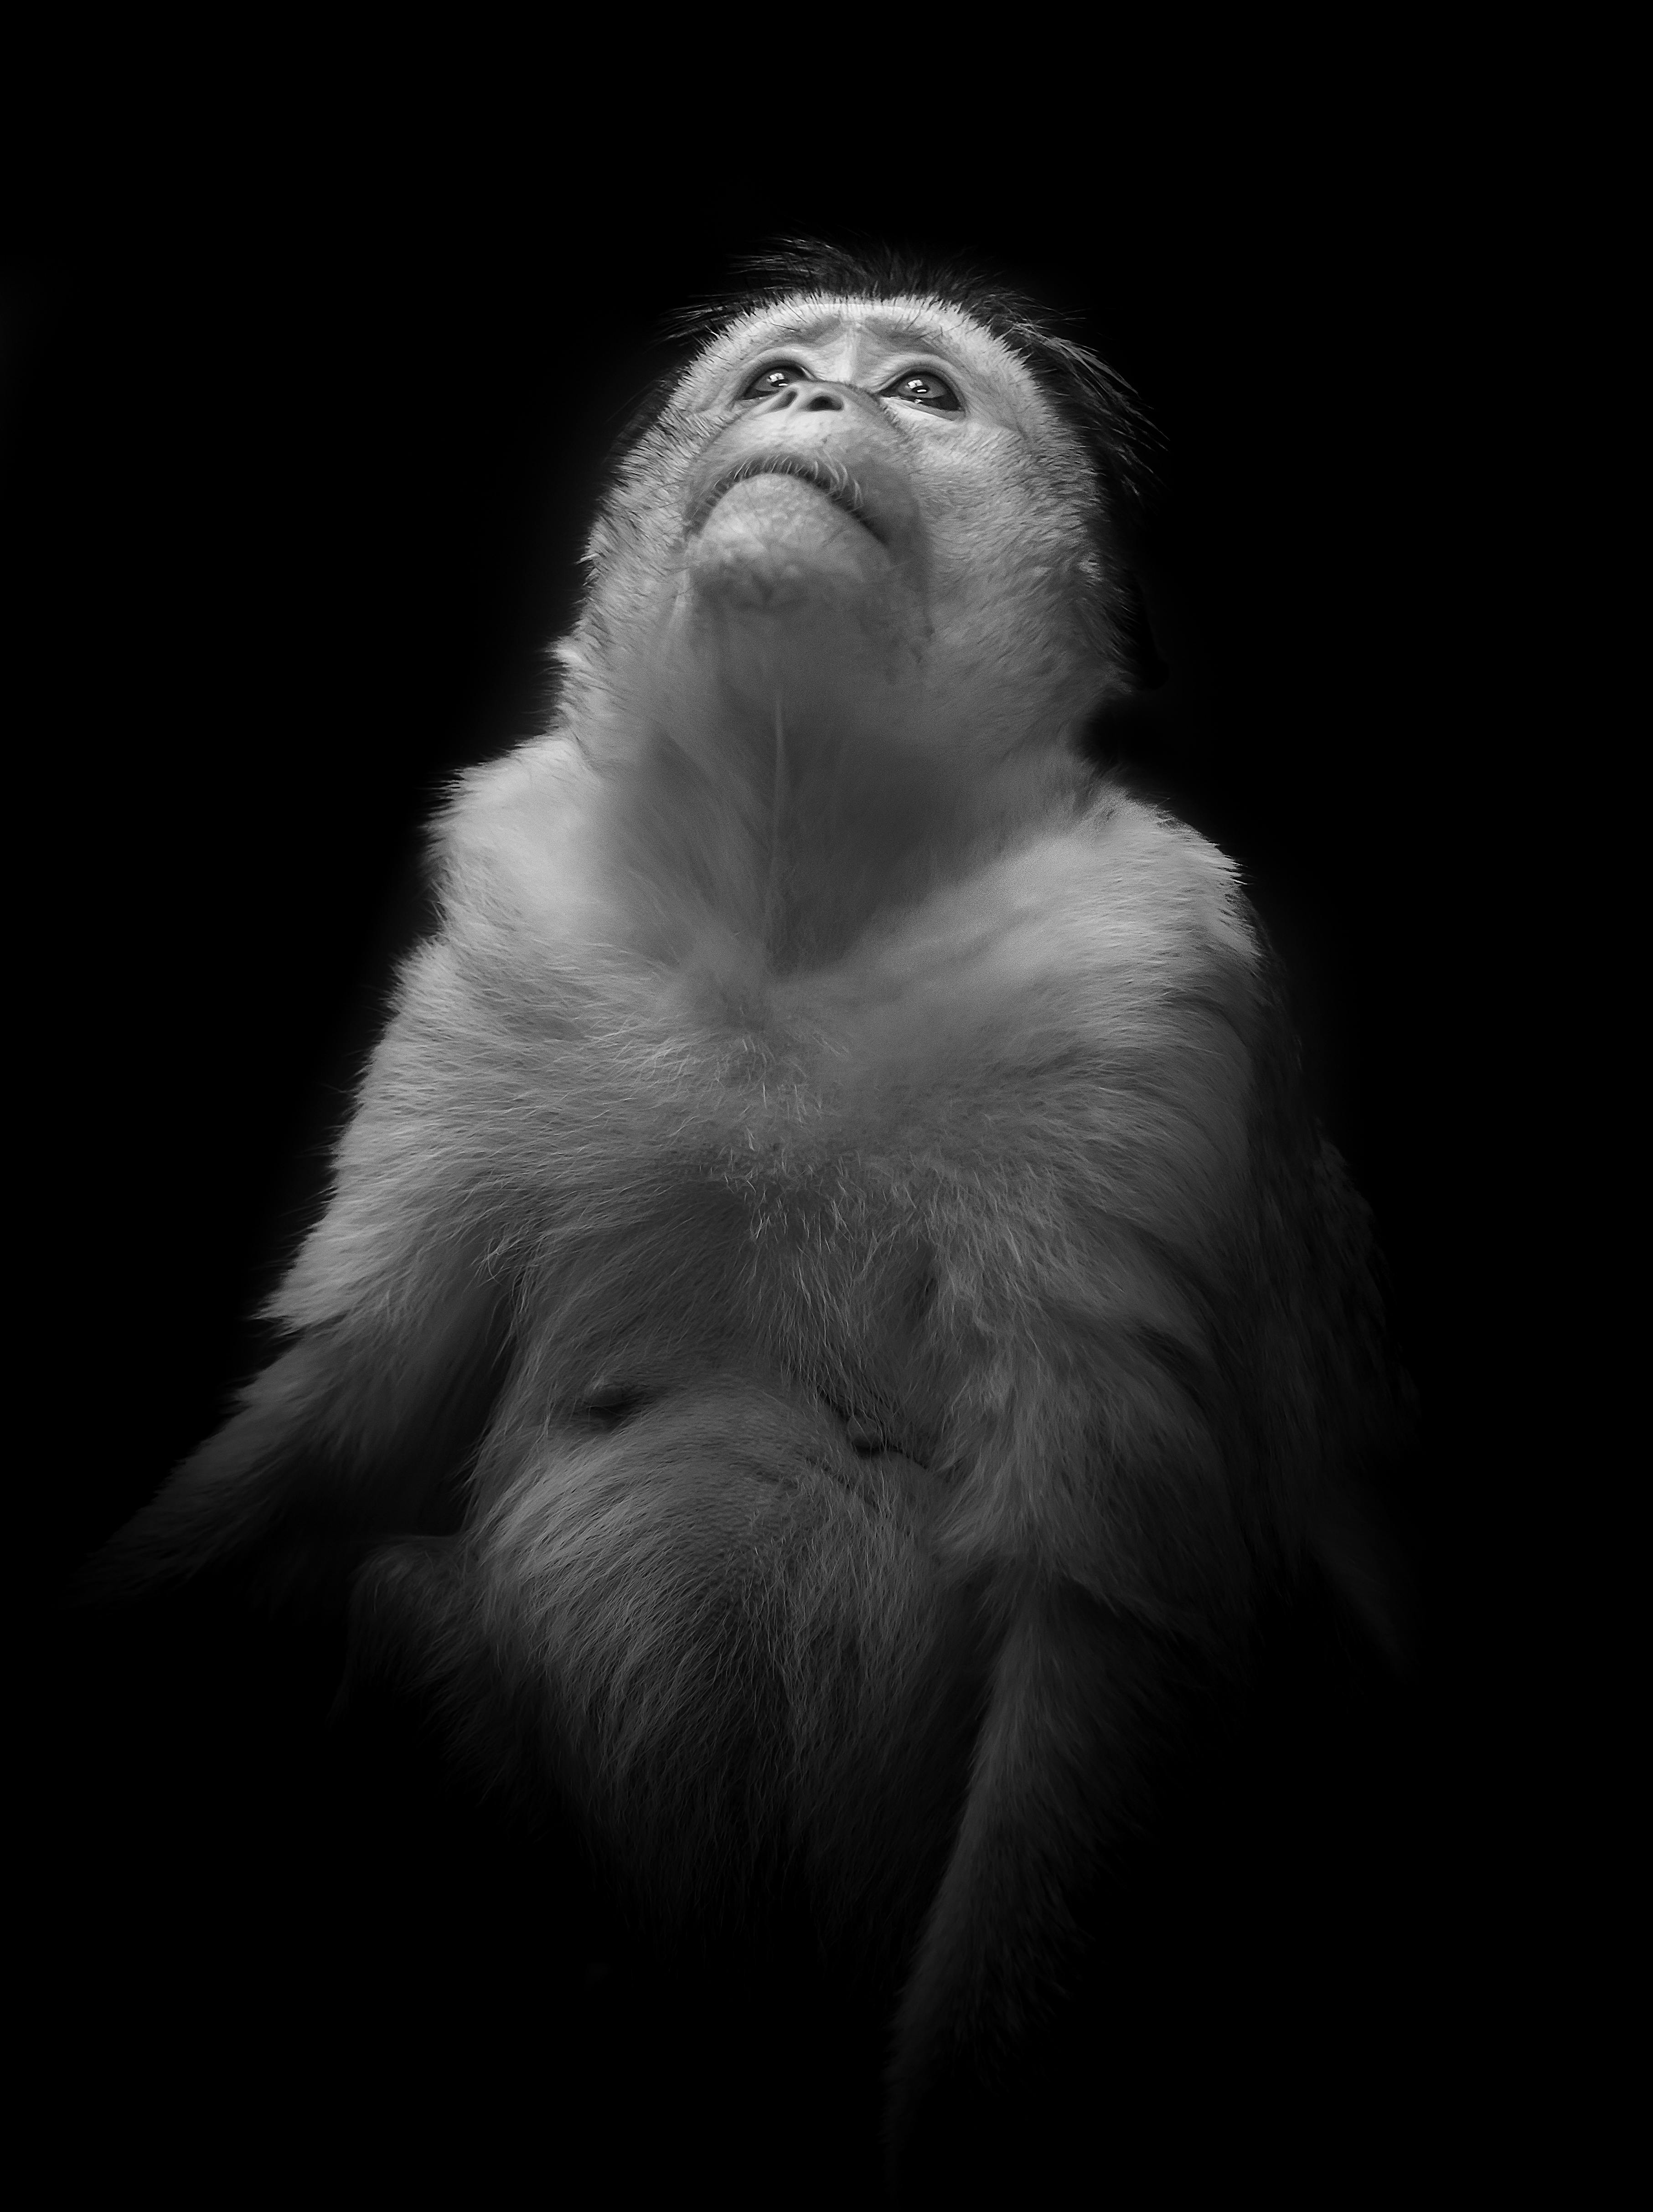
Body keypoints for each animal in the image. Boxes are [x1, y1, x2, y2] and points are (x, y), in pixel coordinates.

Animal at [92, 242, 1412, 2198]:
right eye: (779, 376)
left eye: (920, 395)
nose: (819, 404)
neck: (802, 906)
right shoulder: (516, 935)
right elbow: (343, 1423)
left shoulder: (1140, 1001)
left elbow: (1105, 1617)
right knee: (386, 1598)